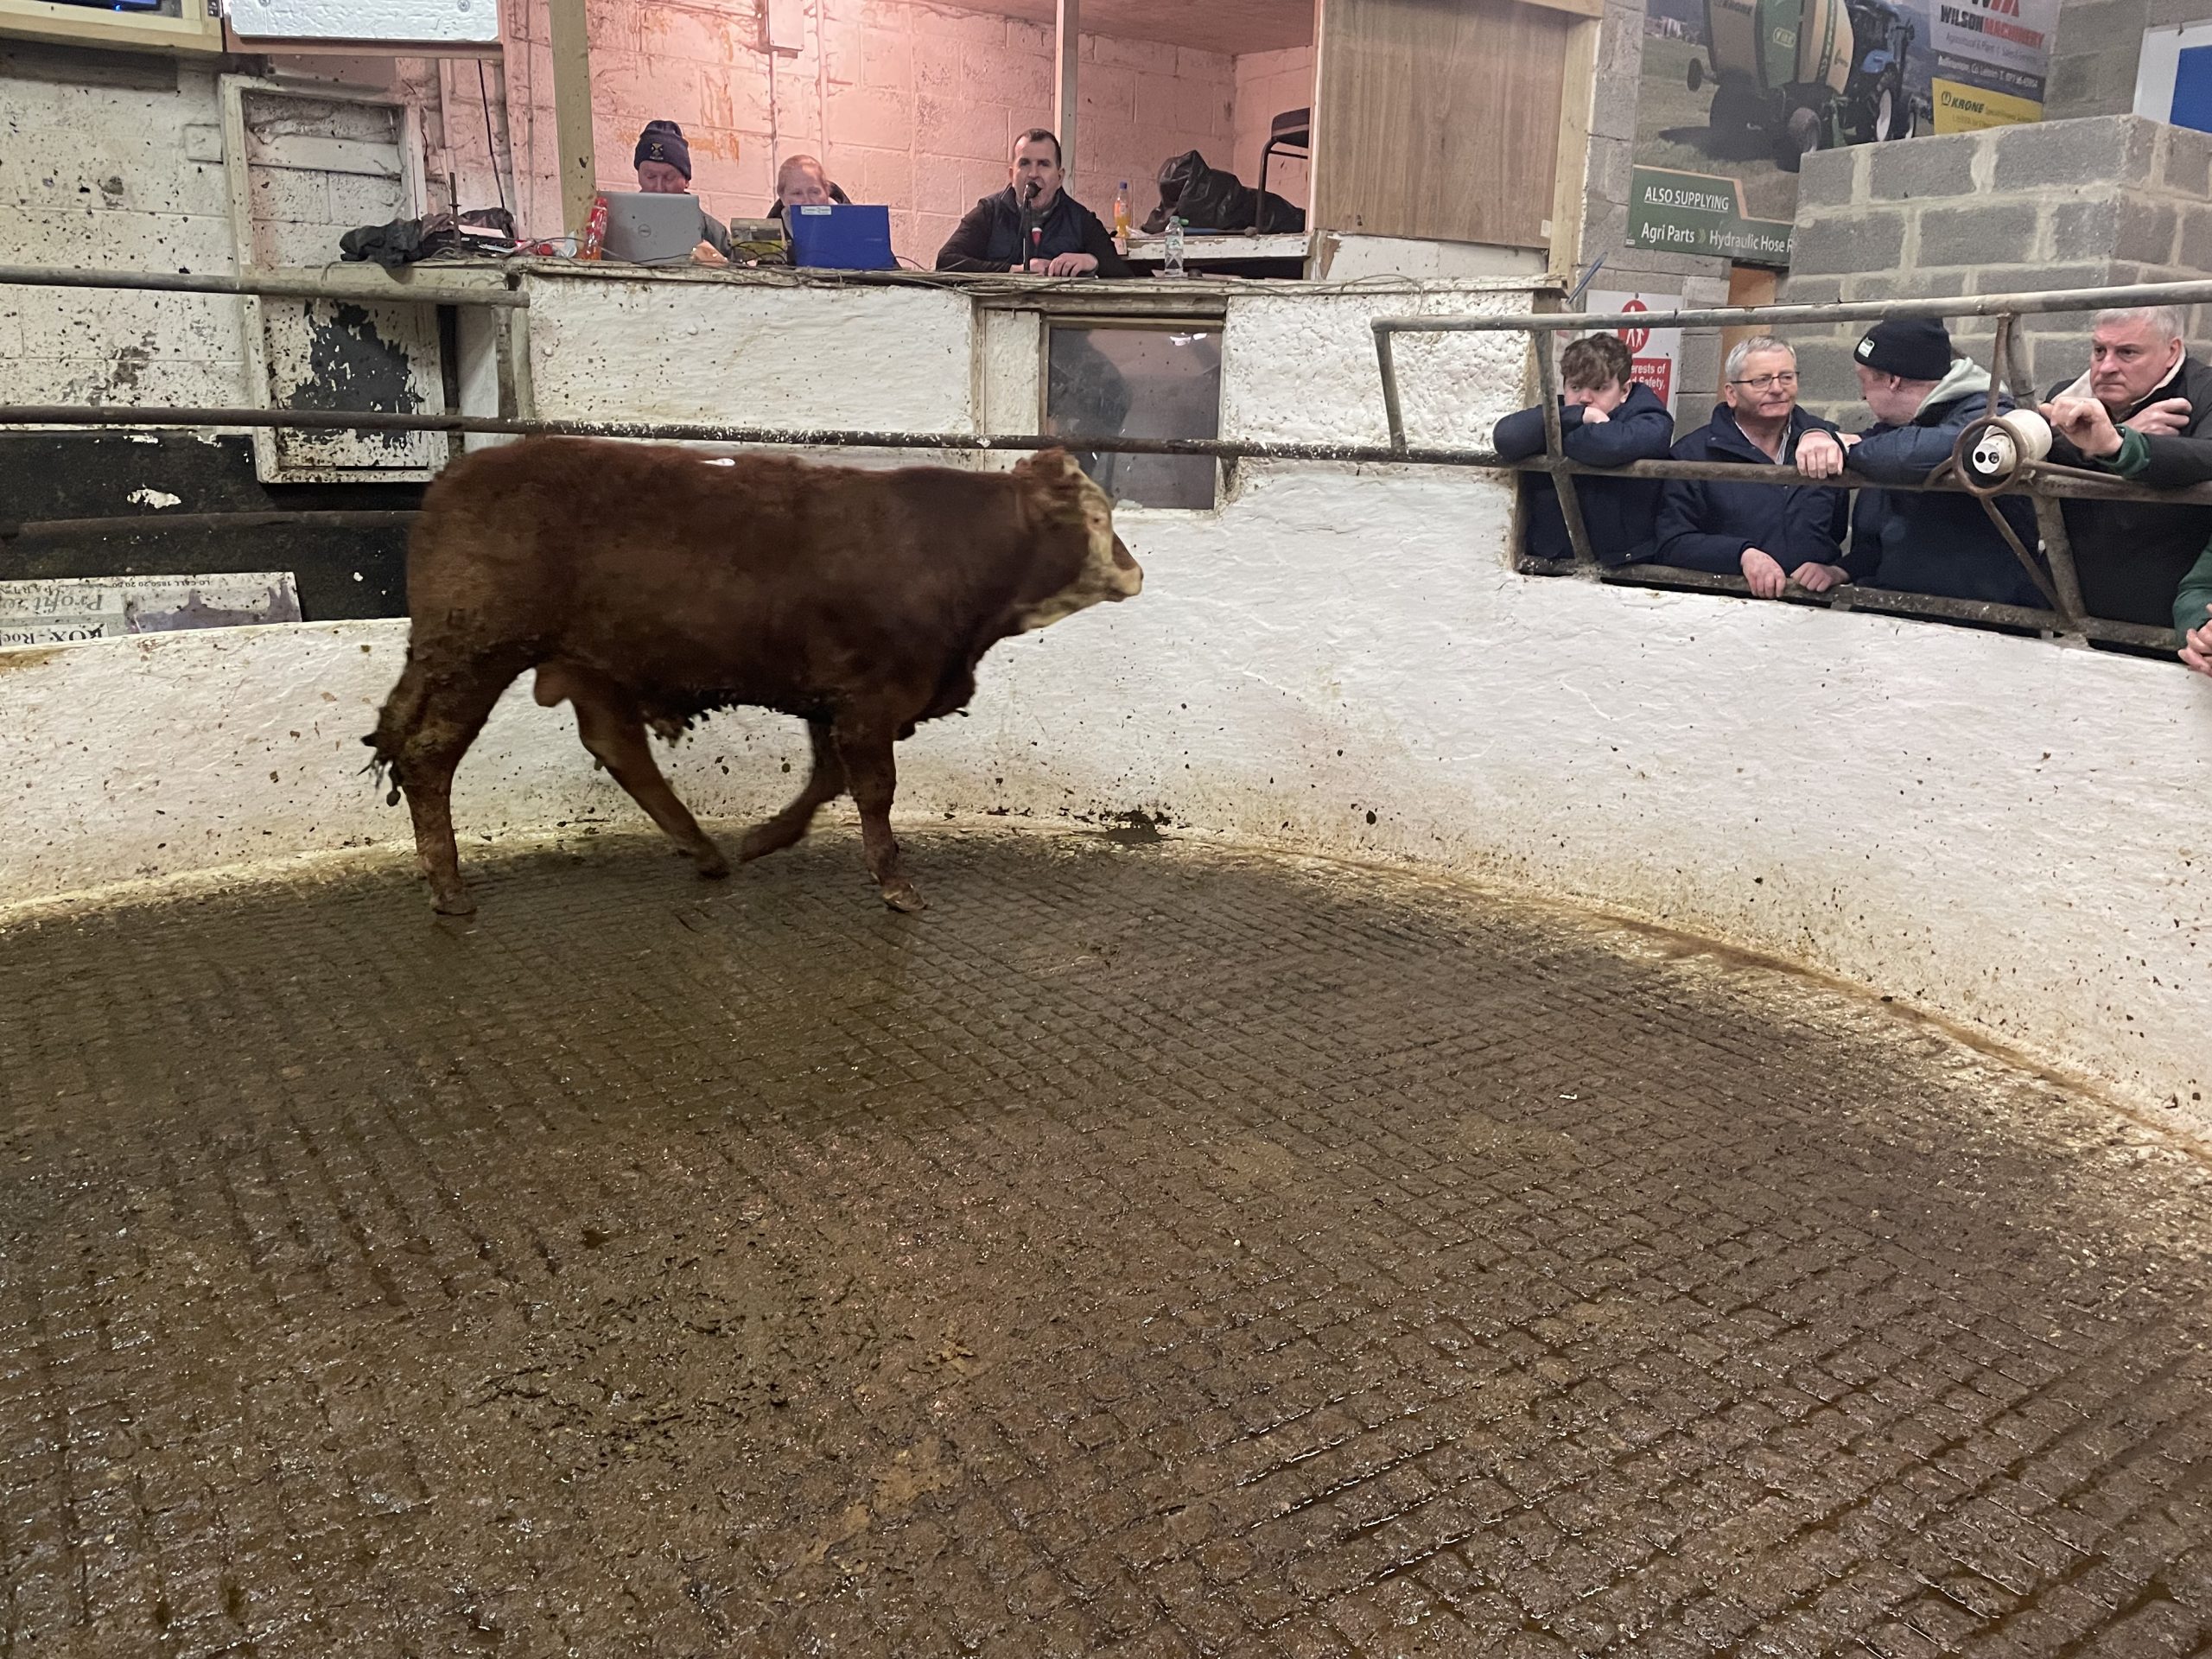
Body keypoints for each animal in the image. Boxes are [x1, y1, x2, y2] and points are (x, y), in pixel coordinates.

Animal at [367, 438, 1142, 916]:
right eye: (1095, 519)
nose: (1135, 572)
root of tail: (456, 480)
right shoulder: (869, 701)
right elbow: (874, 791)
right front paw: (895, 884)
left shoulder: (834, 700)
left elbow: (828, 781)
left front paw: (765, 839)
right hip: (474, 655)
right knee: (430, 754)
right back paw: (449, 886)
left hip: (587, 664)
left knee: (618, 748)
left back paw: (704, 850)